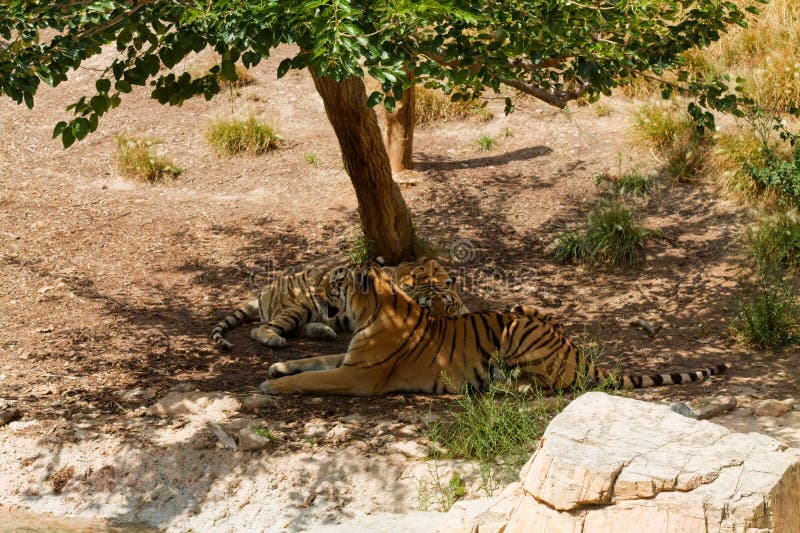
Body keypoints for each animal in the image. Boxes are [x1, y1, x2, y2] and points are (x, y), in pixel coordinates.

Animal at [211, 256, 467, 350]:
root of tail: (265, 289)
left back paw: (324, 332)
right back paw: (275, 340)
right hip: (301, 305)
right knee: (261, 329)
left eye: (449, 306)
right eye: (427, 308)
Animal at [259, 263, 728, 396]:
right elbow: (313, 361)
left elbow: (315, 378)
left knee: (548, 387)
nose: (318, 284)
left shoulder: (359, 376)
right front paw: (280, 368)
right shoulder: (348, 357)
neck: (370, 314)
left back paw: (503, 387)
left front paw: (274, 386)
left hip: (517, 329)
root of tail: (576, 351)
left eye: (336, 279)